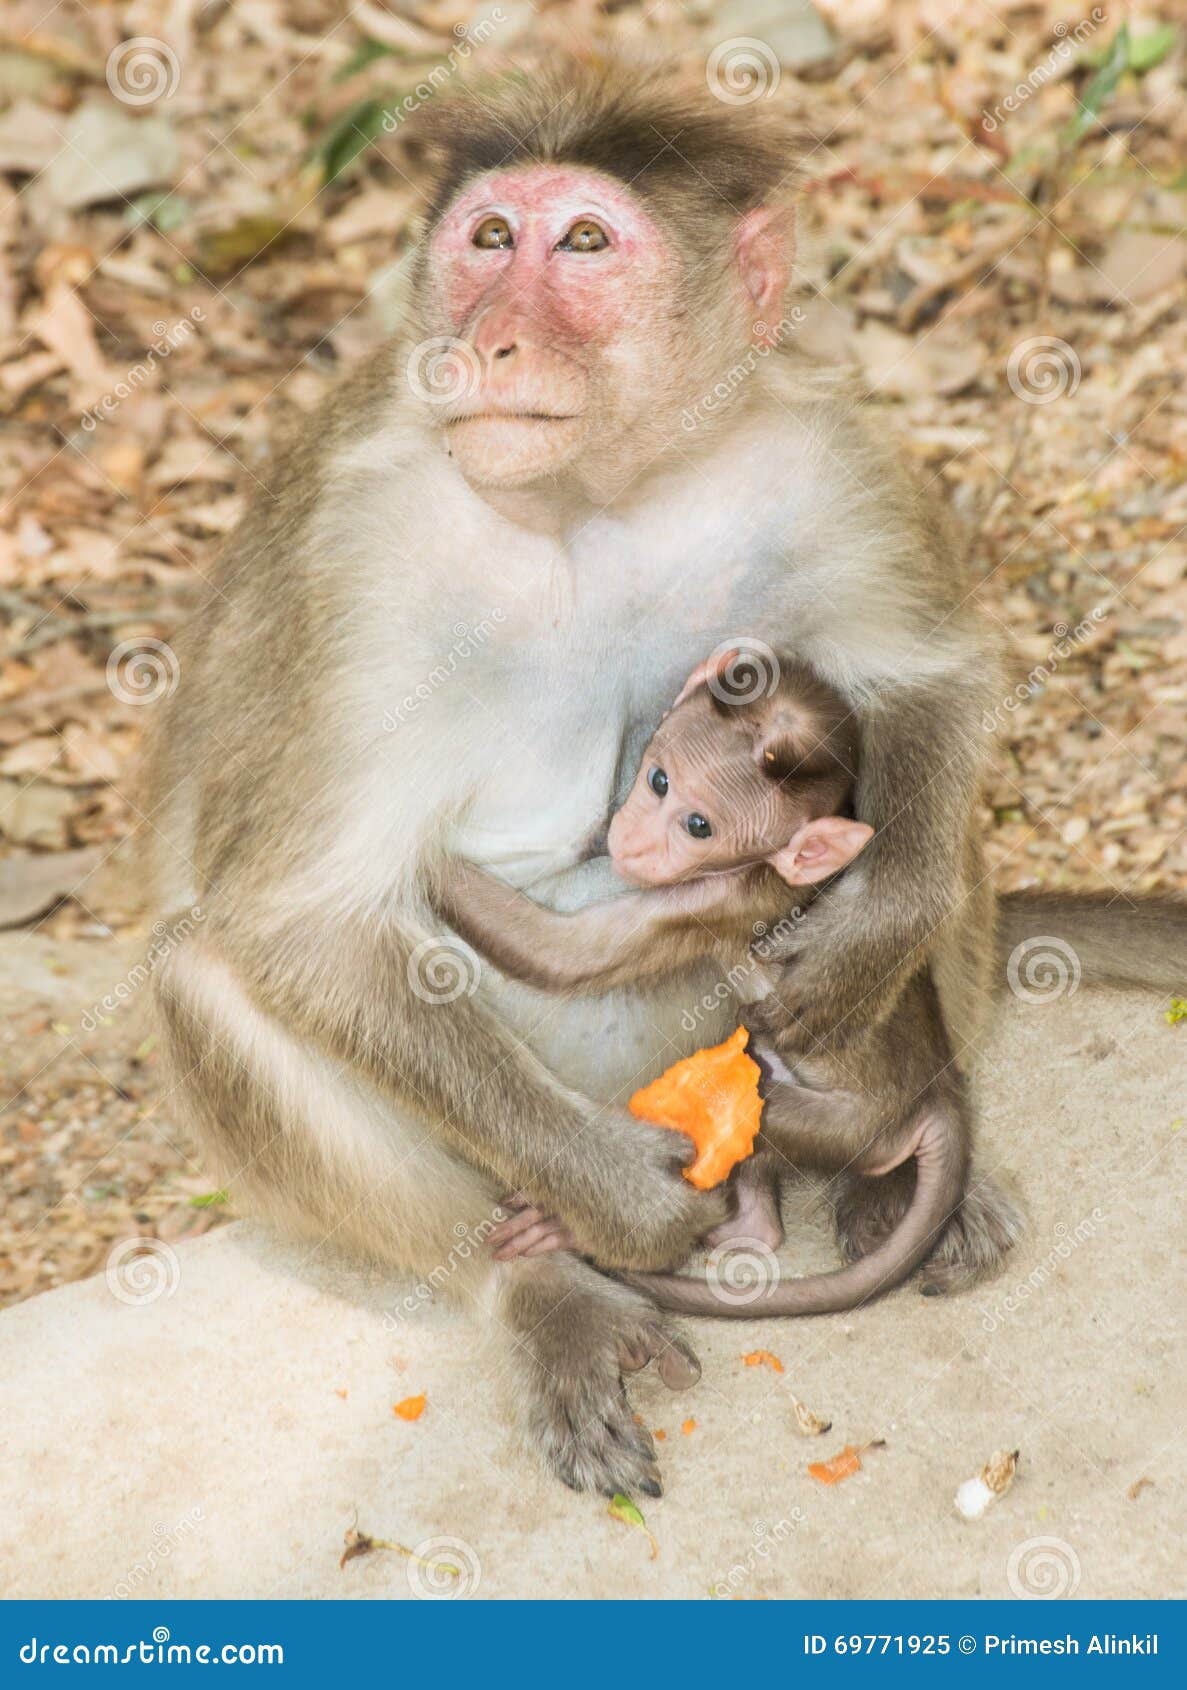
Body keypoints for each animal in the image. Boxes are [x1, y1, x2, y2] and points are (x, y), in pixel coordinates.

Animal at [432, 651, 978, 1317]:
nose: (635, 840)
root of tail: (940, 1088)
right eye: (659, 780)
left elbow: (565, 955)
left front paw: (419, 861)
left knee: (748, 1106)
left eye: (699, 826)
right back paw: (751, 1226)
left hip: (855, 1127)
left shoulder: (713, 901)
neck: (765, 870)